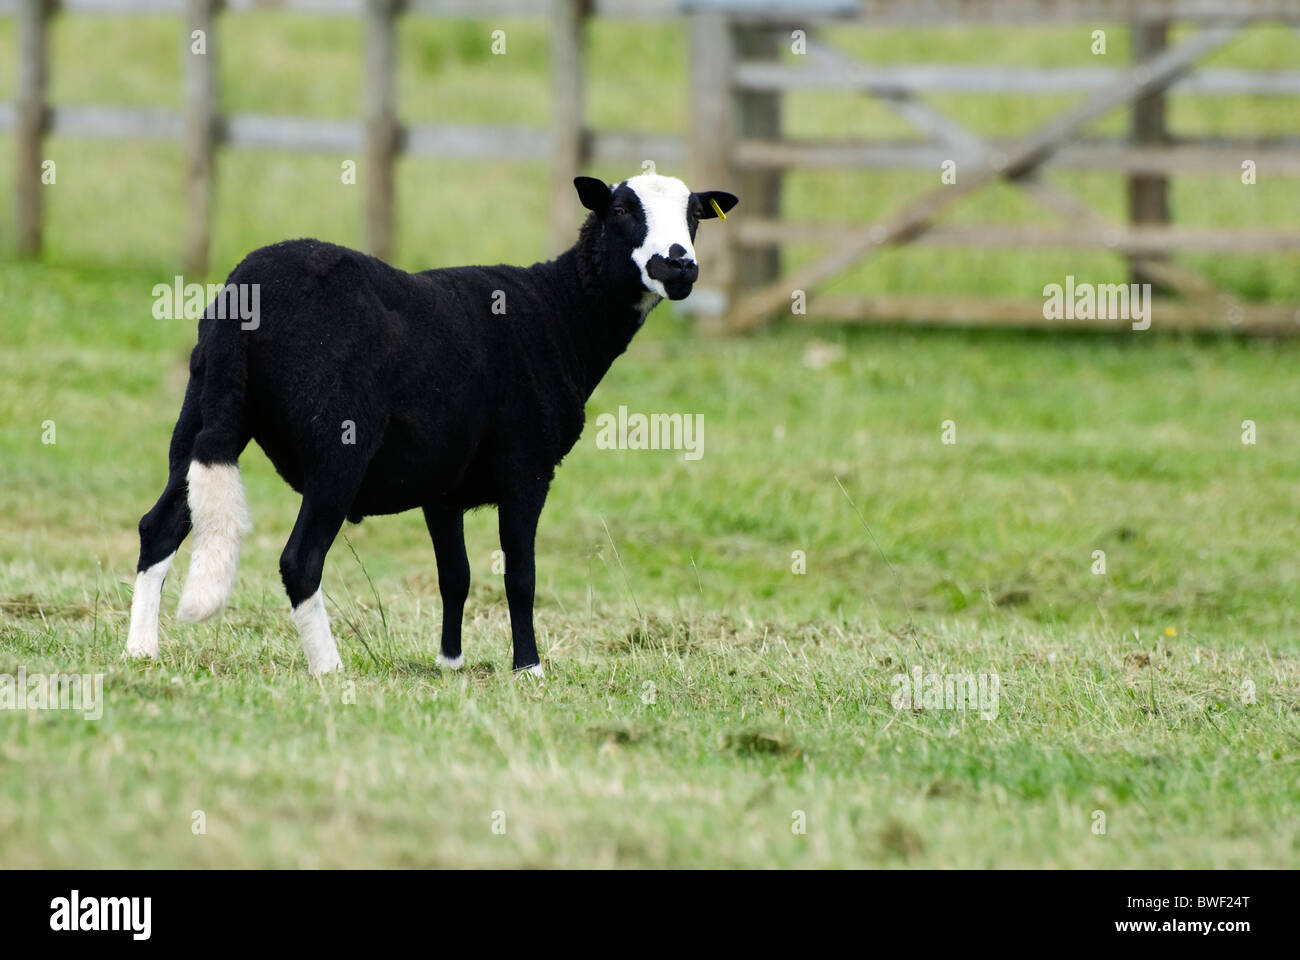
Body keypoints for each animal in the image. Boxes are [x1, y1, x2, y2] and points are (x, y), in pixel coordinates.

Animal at [125, 173, 738, 677]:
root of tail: (244, 295)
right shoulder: (526, 467)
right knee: (300, 559)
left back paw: (140, 651)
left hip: (203, 413)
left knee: (160, 526)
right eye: (622, 210)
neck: (560, 312)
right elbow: (520, 575)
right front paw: (529, 668)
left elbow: (456, 576)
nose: (679, 266)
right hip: (338, 443)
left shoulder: (443, 485)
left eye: (694, 216)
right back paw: (329, 668)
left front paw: (450, 663)